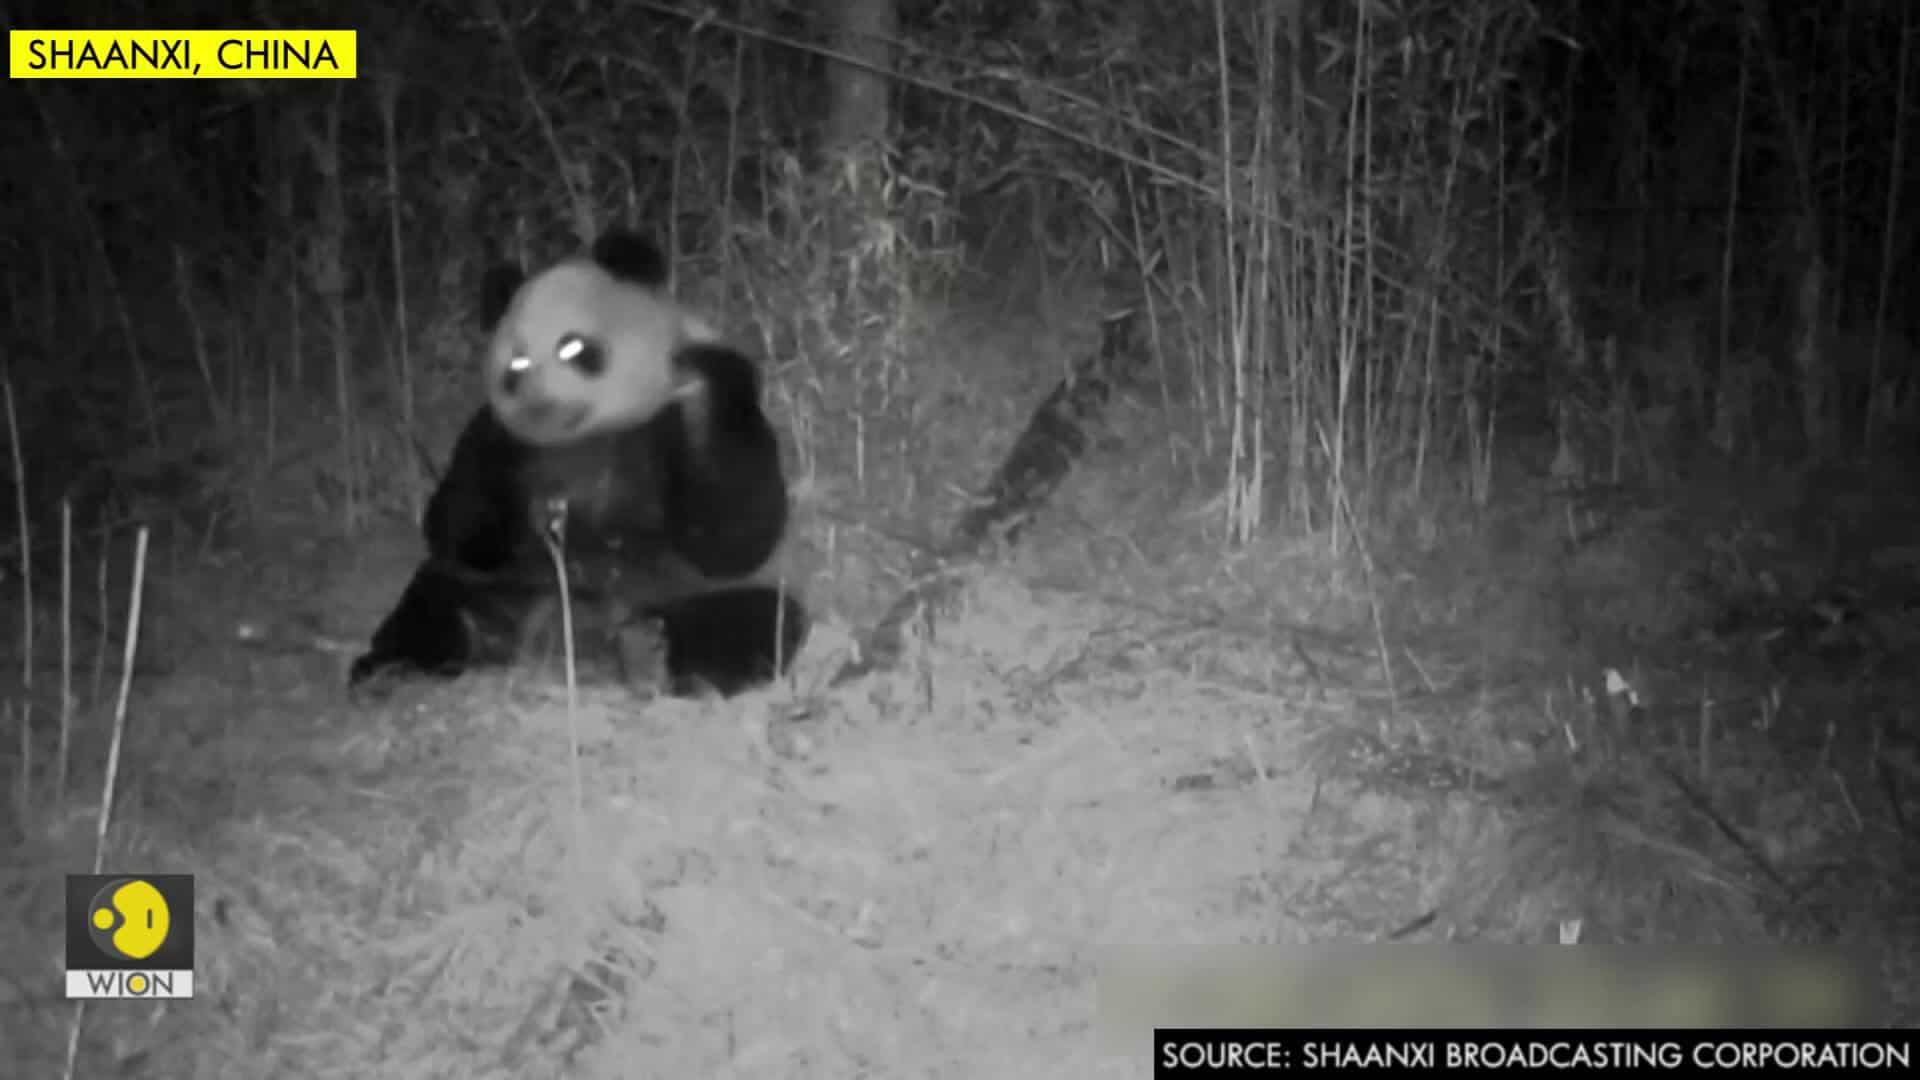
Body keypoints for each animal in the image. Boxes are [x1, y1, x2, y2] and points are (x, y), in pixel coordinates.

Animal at [348, 229, 808, 699]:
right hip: (502, 590)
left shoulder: (709, 403)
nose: (538, 406)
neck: (586, 434)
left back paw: (648, 656)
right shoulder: (493, 440)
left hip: (681, 595)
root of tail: (560, 642)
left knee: (752, 619)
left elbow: (737, 532)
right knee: (433, 600)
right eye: (516, 363)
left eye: (572, 346)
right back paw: (393, 669)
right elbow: (451, 523)